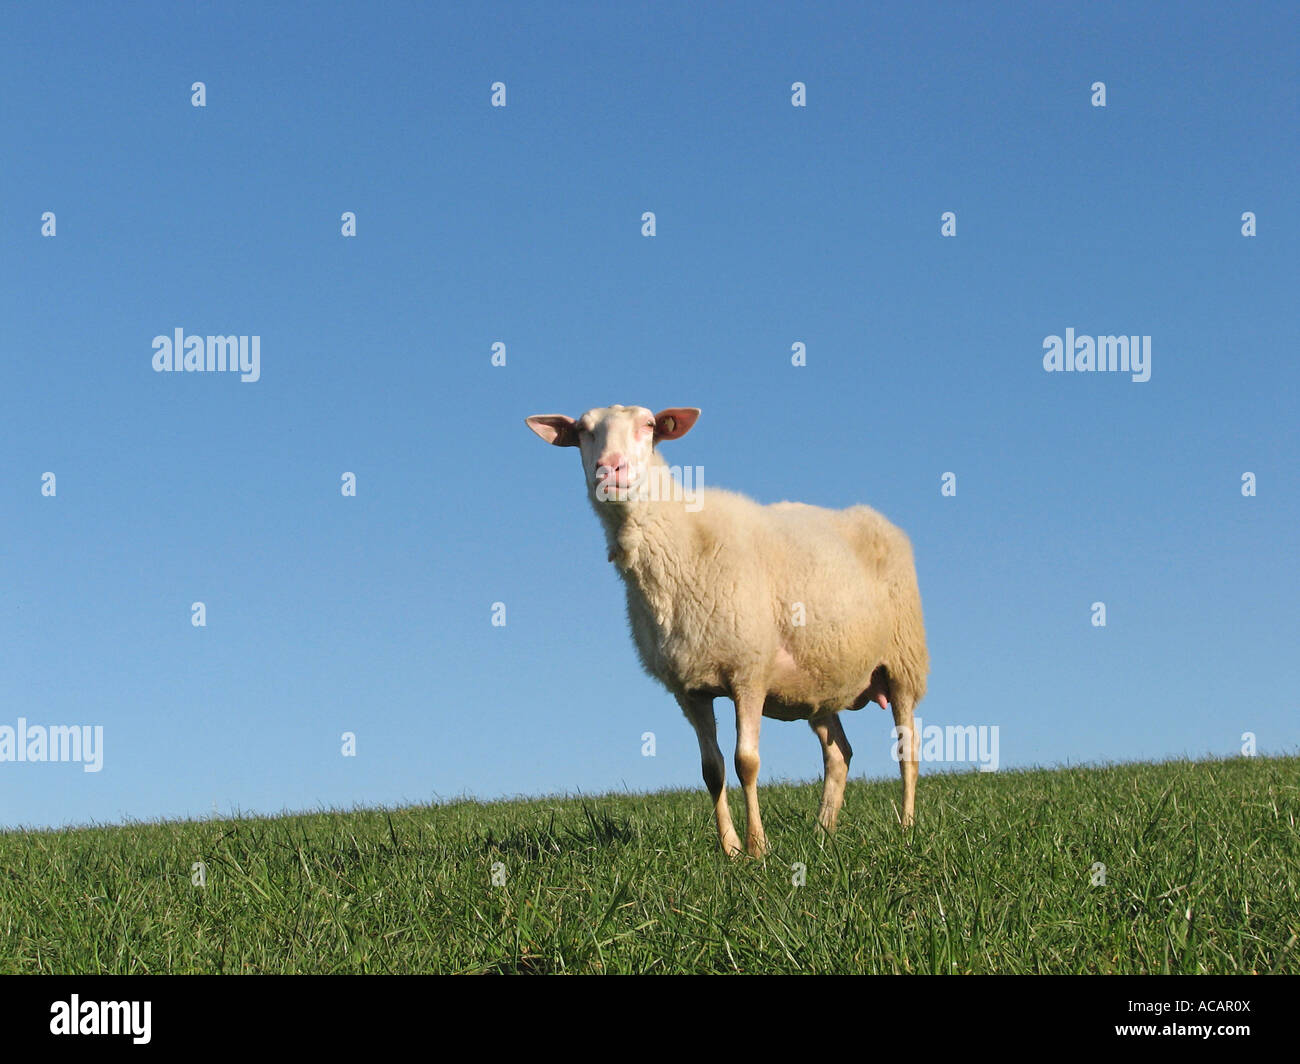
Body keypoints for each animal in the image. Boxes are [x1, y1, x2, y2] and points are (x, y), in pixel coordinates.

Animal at [525, 404, 929, 857]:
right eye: (582, 430)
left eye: (648, 426)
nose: (610, 468)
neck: (681, 541)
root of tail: (875, 518)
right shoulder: (689, 689)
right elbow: (712, 769)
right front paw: (731, 850)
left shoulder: (748, 671)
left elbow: (745, 762)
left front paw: (758, 848)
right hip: (817, 681)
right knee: (839, 753)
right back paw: (822, 833)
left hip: (904, 663)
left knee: (908, 750)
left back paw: (907, 828)